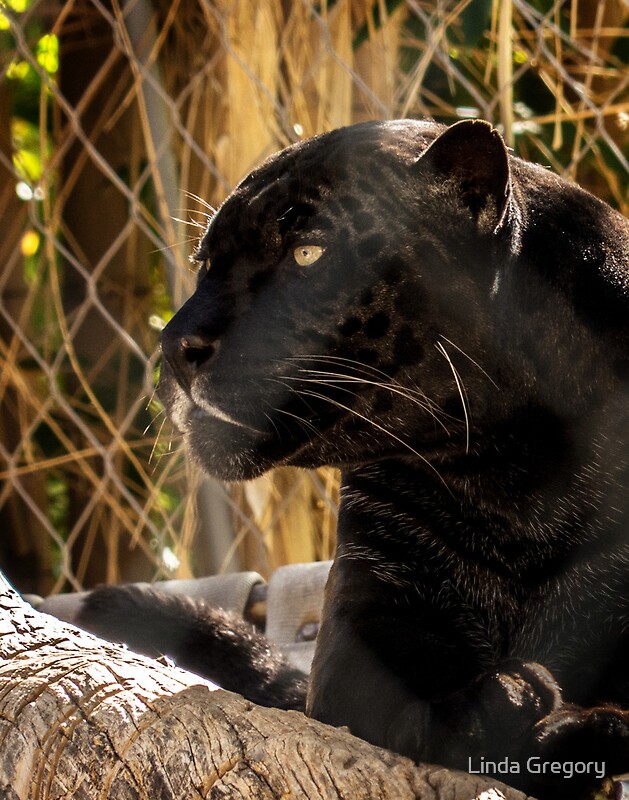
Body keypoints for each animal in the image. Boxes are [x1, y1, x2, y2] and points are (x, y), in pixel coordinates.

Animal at [79, 118, 629, 799]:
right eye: (205, 264)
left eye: (306, 255)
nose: (174, 343)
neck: (512, 483)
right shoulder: (359, 632)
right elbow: (413, 711)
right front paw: (518, 695)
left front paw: (581, 723)